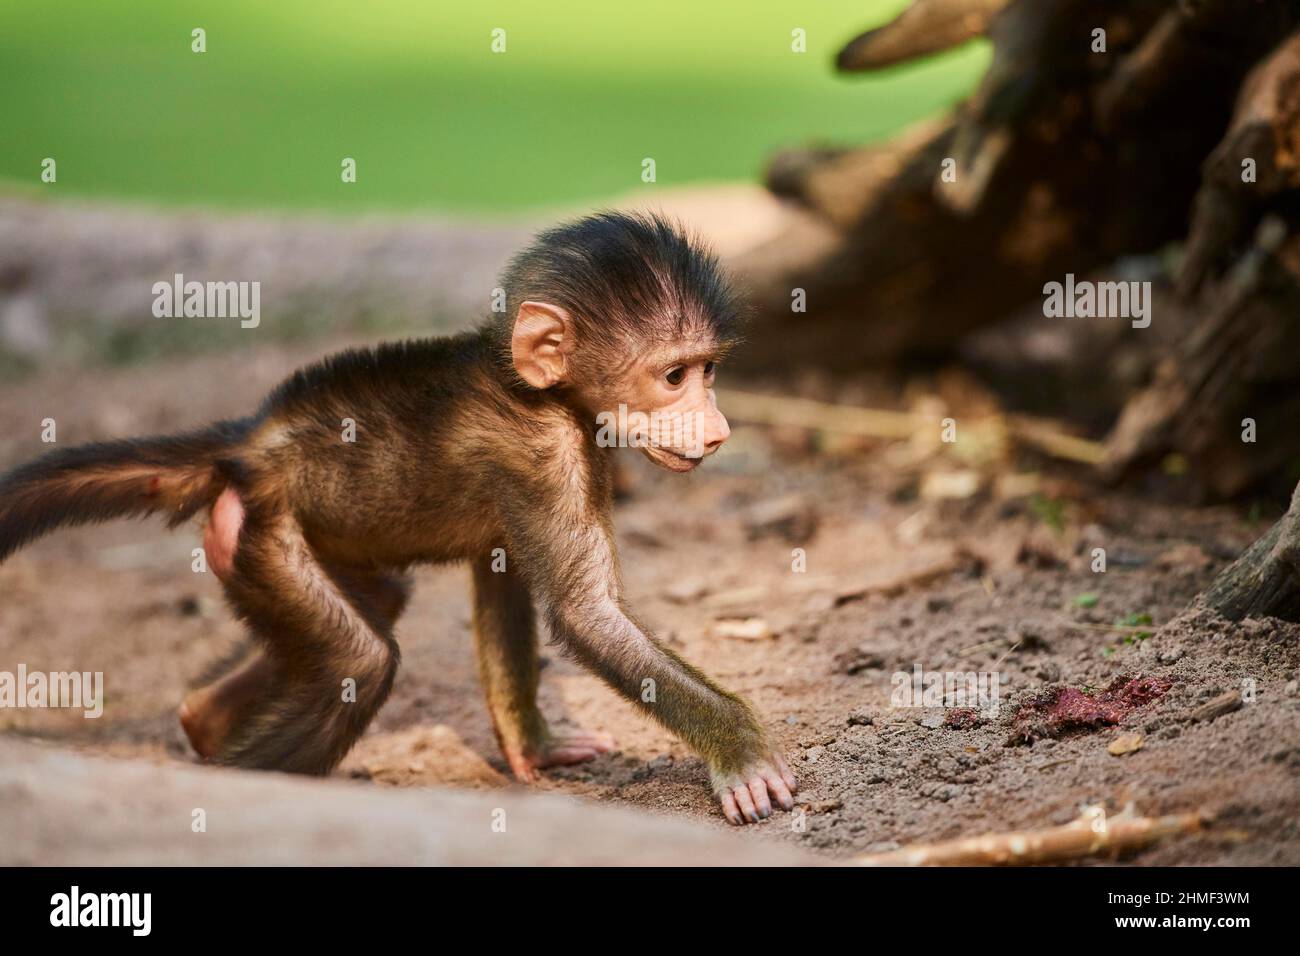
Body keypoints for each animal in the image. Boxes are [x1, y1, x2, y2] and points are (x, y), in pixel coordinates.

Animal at [0, 212, 797, 825]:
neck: (537, 391)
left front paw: (532, 746)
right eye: (673, 376)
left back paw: (202, 717)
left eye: (709, 370)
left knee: (381, 599)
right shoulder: (544, 453)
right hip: (266, 534)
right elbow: (586, 613)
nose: (719, 428)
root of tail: (247, 444)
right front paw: (742, 751)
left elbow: (502, 574)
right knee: (361, 659)